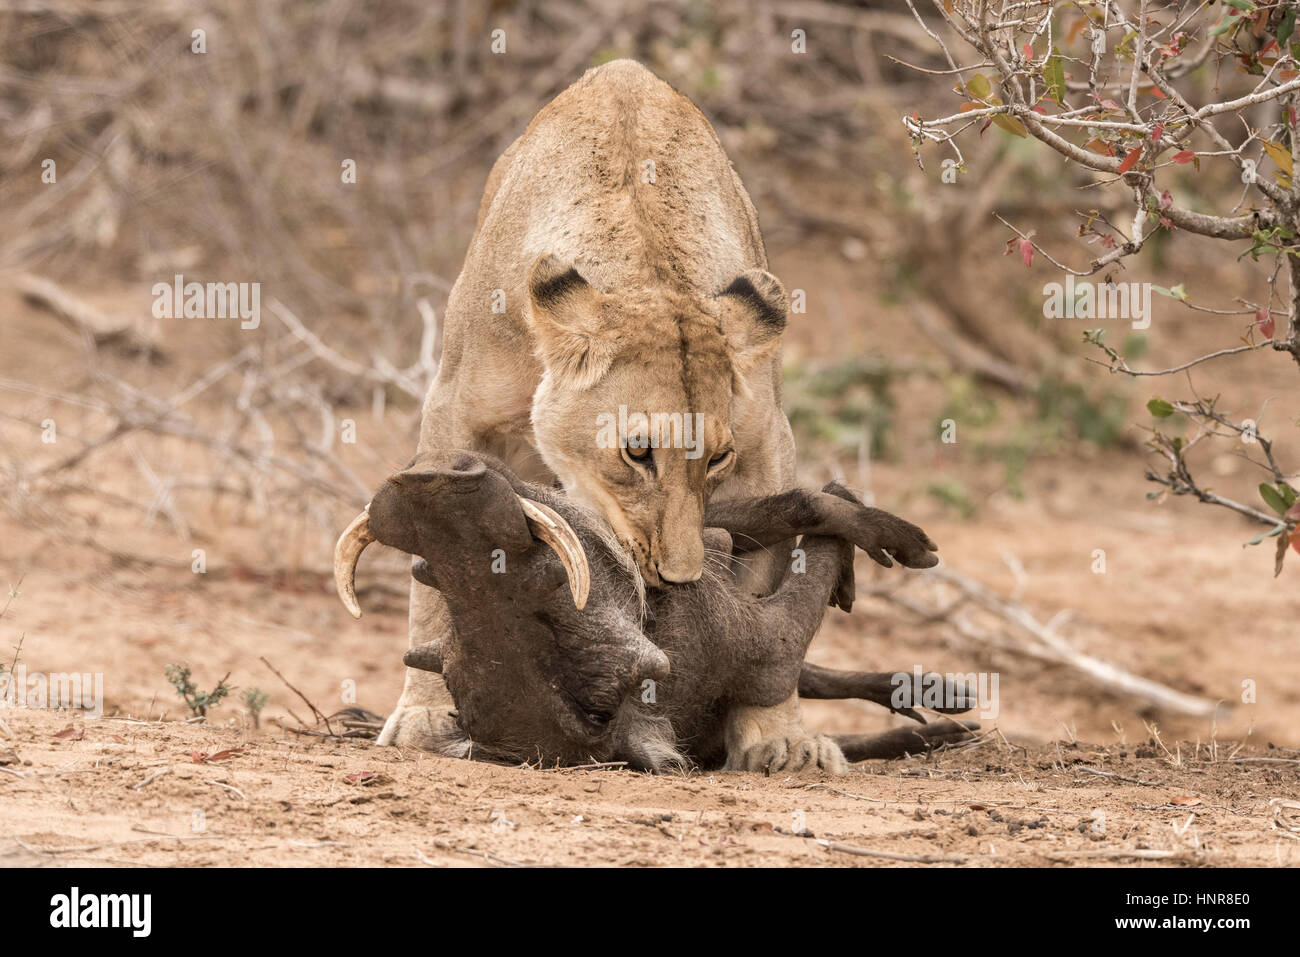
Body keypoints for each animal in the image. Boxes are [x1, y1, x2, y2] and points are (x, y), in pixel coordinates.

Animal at [376, 59, 937, 772]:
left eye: (716, 457)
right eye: (636, 452)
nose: (680, 579)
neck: (645, 258)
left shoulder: (765, 438)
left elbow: (770, 593)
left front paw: (776, 736)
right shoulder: (454, 414)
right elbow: (430, 574)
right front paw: (423, 712)